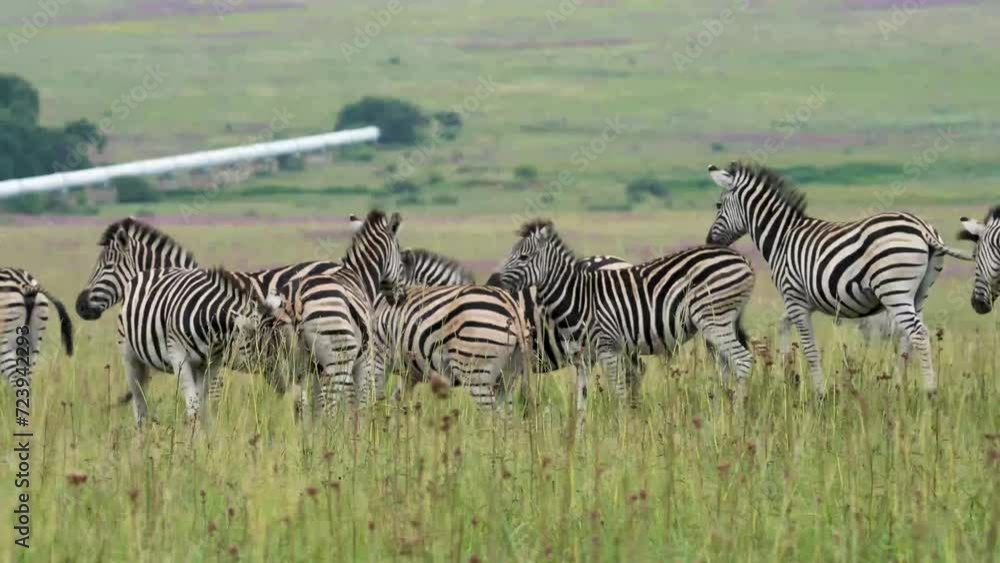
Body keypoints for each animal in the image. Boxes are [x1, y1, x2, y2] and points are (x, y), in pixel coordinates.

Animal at [117, 266, 272, 425]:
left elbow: (200, 406)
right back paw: (140, 430)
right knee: (138, 400)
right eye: (261, 342)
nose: (278, 372)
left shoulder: (211, 363)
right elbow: (194, 408)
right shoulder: (178, 356)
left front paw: (203, 430)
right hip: (130, 356)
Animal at [262, 210, 406, 413]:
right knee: (326, 406)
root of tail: (295, 299)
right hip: (337, 359)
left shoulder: (316, 369)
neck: (359, 277)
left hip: (286, 363)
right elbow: (359, 404)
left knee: (300, 404)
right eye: (401, 259)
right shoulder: (364, 360)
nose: (403, 297)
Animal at [494, 220, 755, 409]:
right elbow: (581, 402)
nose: (495, 282)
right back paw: (723, 413)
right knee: (726, 367)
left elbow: (616, 392)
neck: (579, 294)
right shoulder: (584, 356)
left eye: (523, 257)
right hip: (718, 323)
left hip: (713, 318)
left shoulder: (606, 347)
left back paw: (737, 415)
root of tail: (743, 259)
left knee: (743, 361)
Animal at [706, 162, 971, 396]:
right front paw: (785, 375)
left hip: (894, 290)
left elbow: (810, 348)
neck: (782, 237)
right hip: (919, 293)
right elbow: (782, 325)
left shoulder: (794, 296)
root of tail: (923, 229)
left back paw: (929, 391)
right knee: (907, 337)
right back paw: (898, 387)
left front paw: (819, 393)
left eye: (718, 205)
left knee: (918, 334)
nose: (710, 242)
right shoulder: (804, 300)